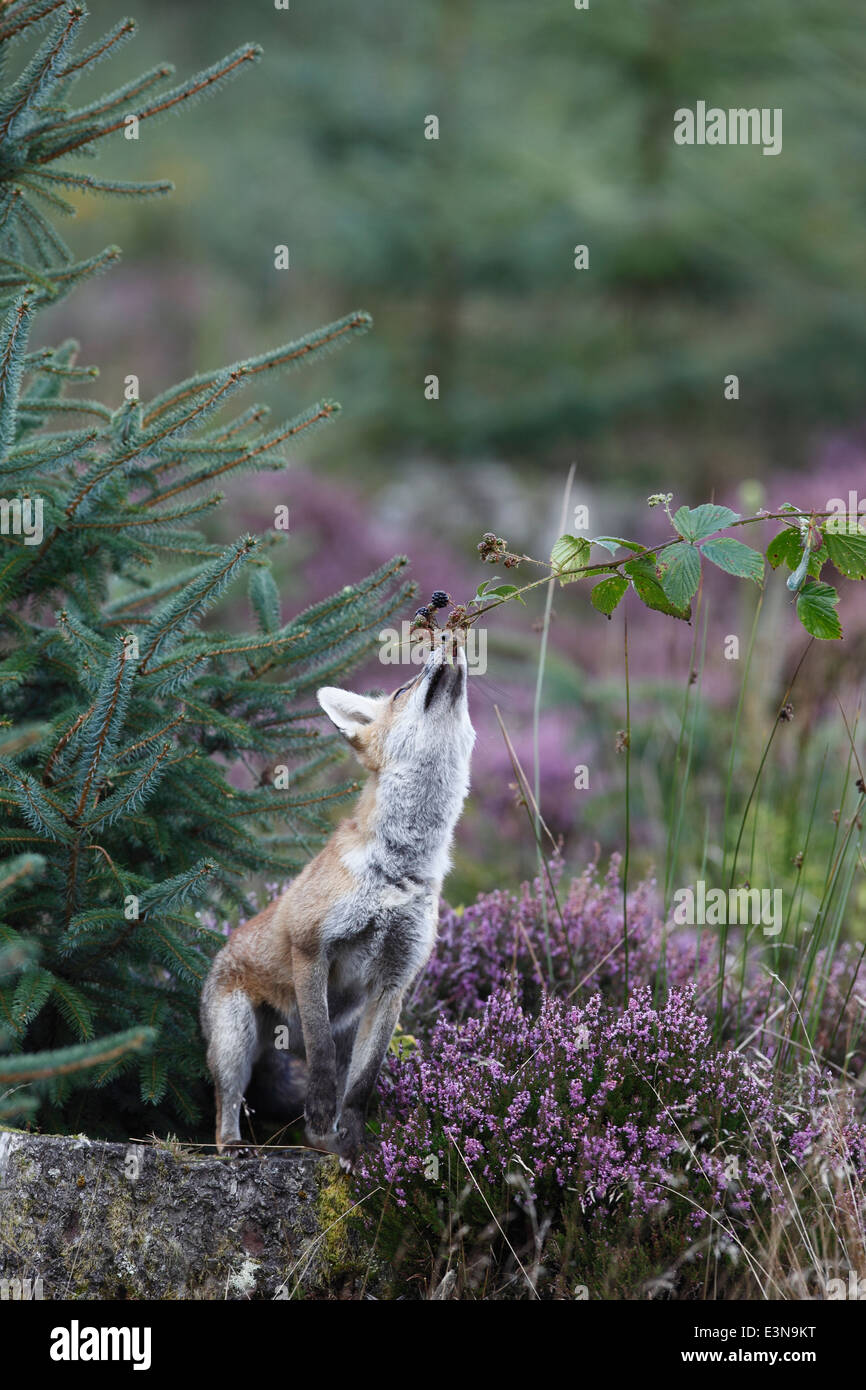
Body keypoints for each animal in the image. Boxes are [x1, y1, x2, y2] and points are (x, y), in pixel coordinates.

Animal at [200, 636, 474, 1166]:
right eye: (402, 688)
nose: (449, 641)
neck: (398, 871)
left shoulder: (394, 981)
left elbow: (364, 1084)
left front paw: (352, 1145)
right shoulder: (311, 949)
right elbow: (322, 1052)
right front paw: (322, 1108)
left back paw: (324, 1144)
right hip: (234, 1041)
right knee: (227, 1099)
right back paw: (235, 1145)